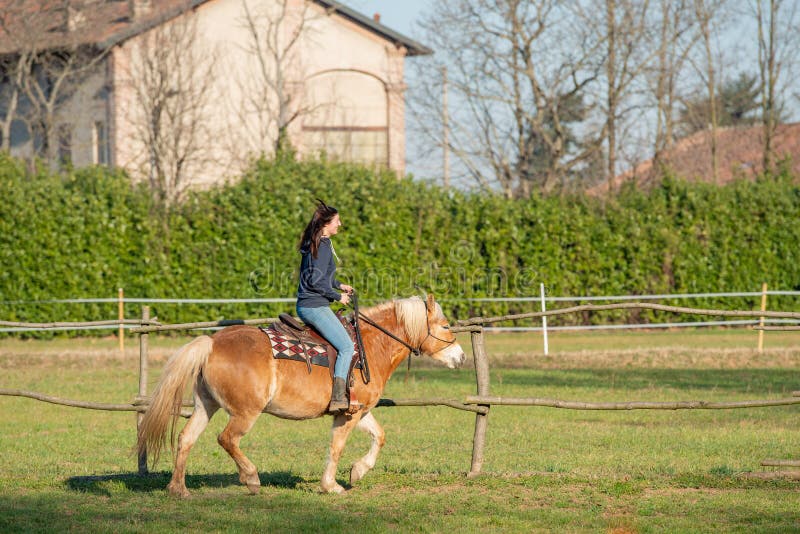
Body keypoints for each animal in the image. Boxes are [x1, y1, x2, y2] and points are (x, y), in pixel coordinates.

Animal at [136, 294, 466, 497]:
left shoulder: (359, 411)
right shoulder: (348, 415)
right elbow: (336, 448)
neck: (369, 347)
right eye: (446, 325)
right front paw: (331, 485)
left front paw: (357, 472)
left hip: (207, 405)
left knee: (185, 439)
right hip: (245, 412)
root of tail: (213, 343)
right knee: (227, 439)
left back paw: (179, 489)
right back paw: (251, 478)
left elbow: (379, 436)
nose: (461, 358)